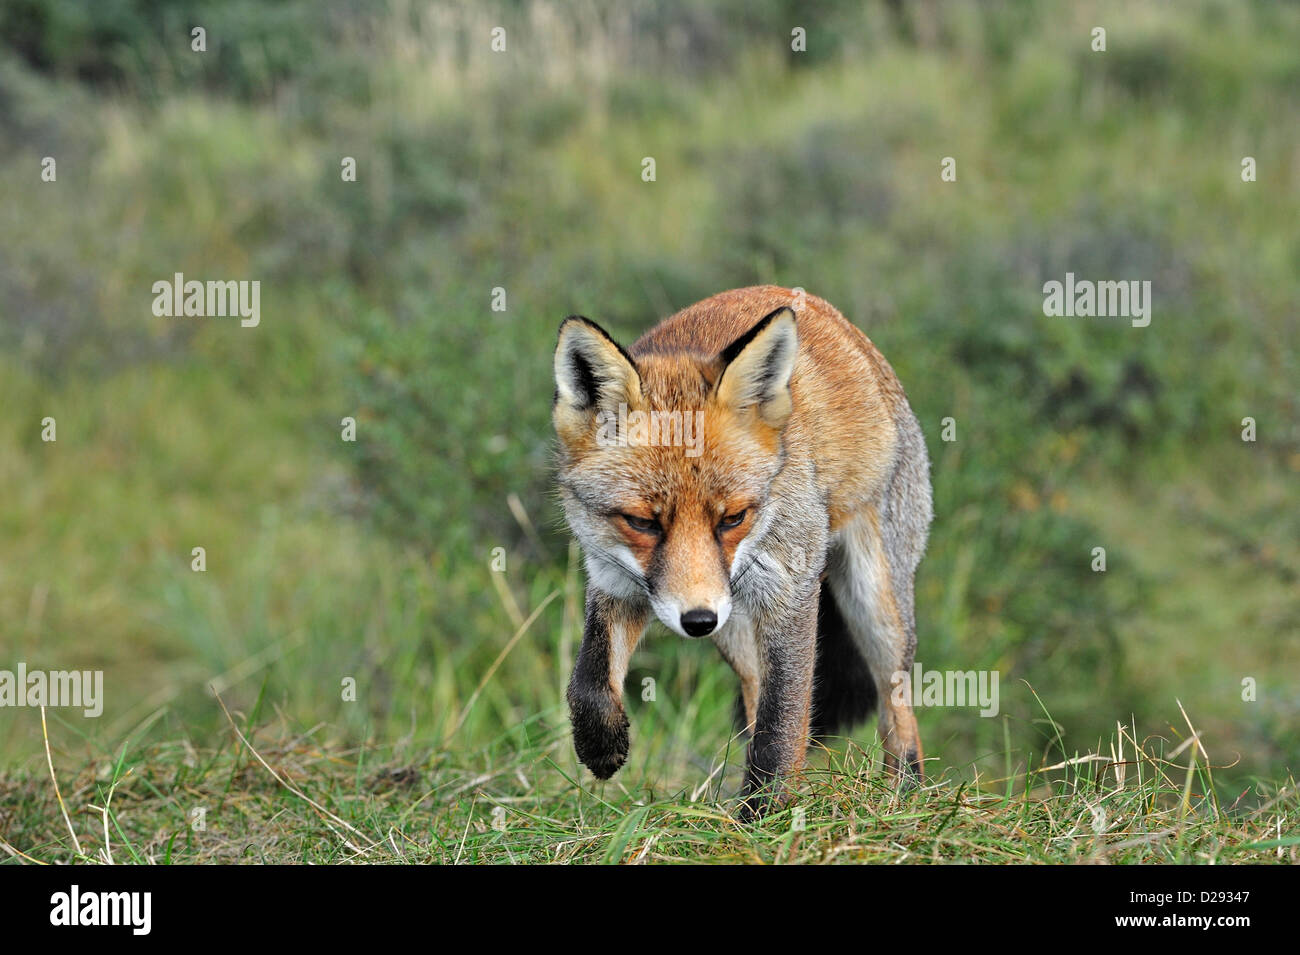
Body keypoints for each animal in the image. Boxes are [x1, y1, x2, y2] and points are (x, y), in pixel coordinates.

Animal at [552, 285, 932, 819]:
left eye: (732, 518)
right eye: (643, 523)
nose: (697, 620)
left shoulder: (791, 589)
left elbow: (783, 724)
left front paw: (767, 816)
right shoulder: (615, 579)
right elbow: (587, 680)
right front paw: (602, 747)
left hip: (874, 605)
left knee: (895, 702)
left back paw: (905, 797)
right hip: (735, 625)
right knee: (755, 695)